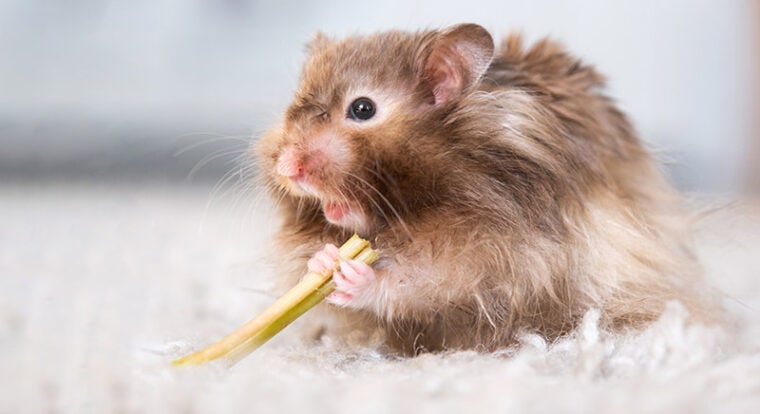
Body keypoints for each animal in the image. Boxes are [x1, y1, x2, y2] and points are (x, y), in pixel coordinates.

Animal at [255, 24, 712, 355]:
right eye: (294, 102)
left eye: (362, 109)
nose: (286, 166)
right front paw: (323, 260)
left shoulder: (502, 250)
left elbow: (424, 279)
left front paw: (352, 274)